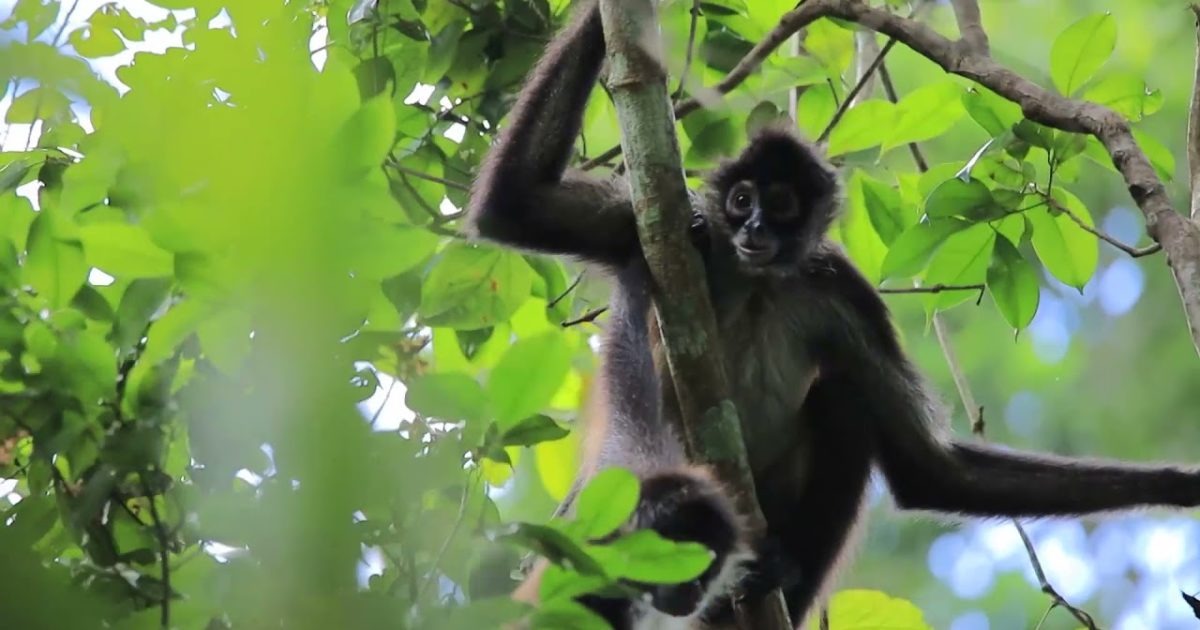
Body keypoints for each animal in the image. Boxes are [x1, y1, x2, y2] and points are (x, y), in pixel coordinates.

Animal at [466, 1, 1200, 628]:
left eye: (783, 204)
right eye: (741, 199)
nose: (753, 228)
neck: (757, 280)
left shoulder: (842, 293)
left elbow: (928, 468)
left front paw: (1181, 483)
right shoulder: (653, 224)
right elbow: (516, 205)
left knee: (844, 401)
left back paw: (780, 577)